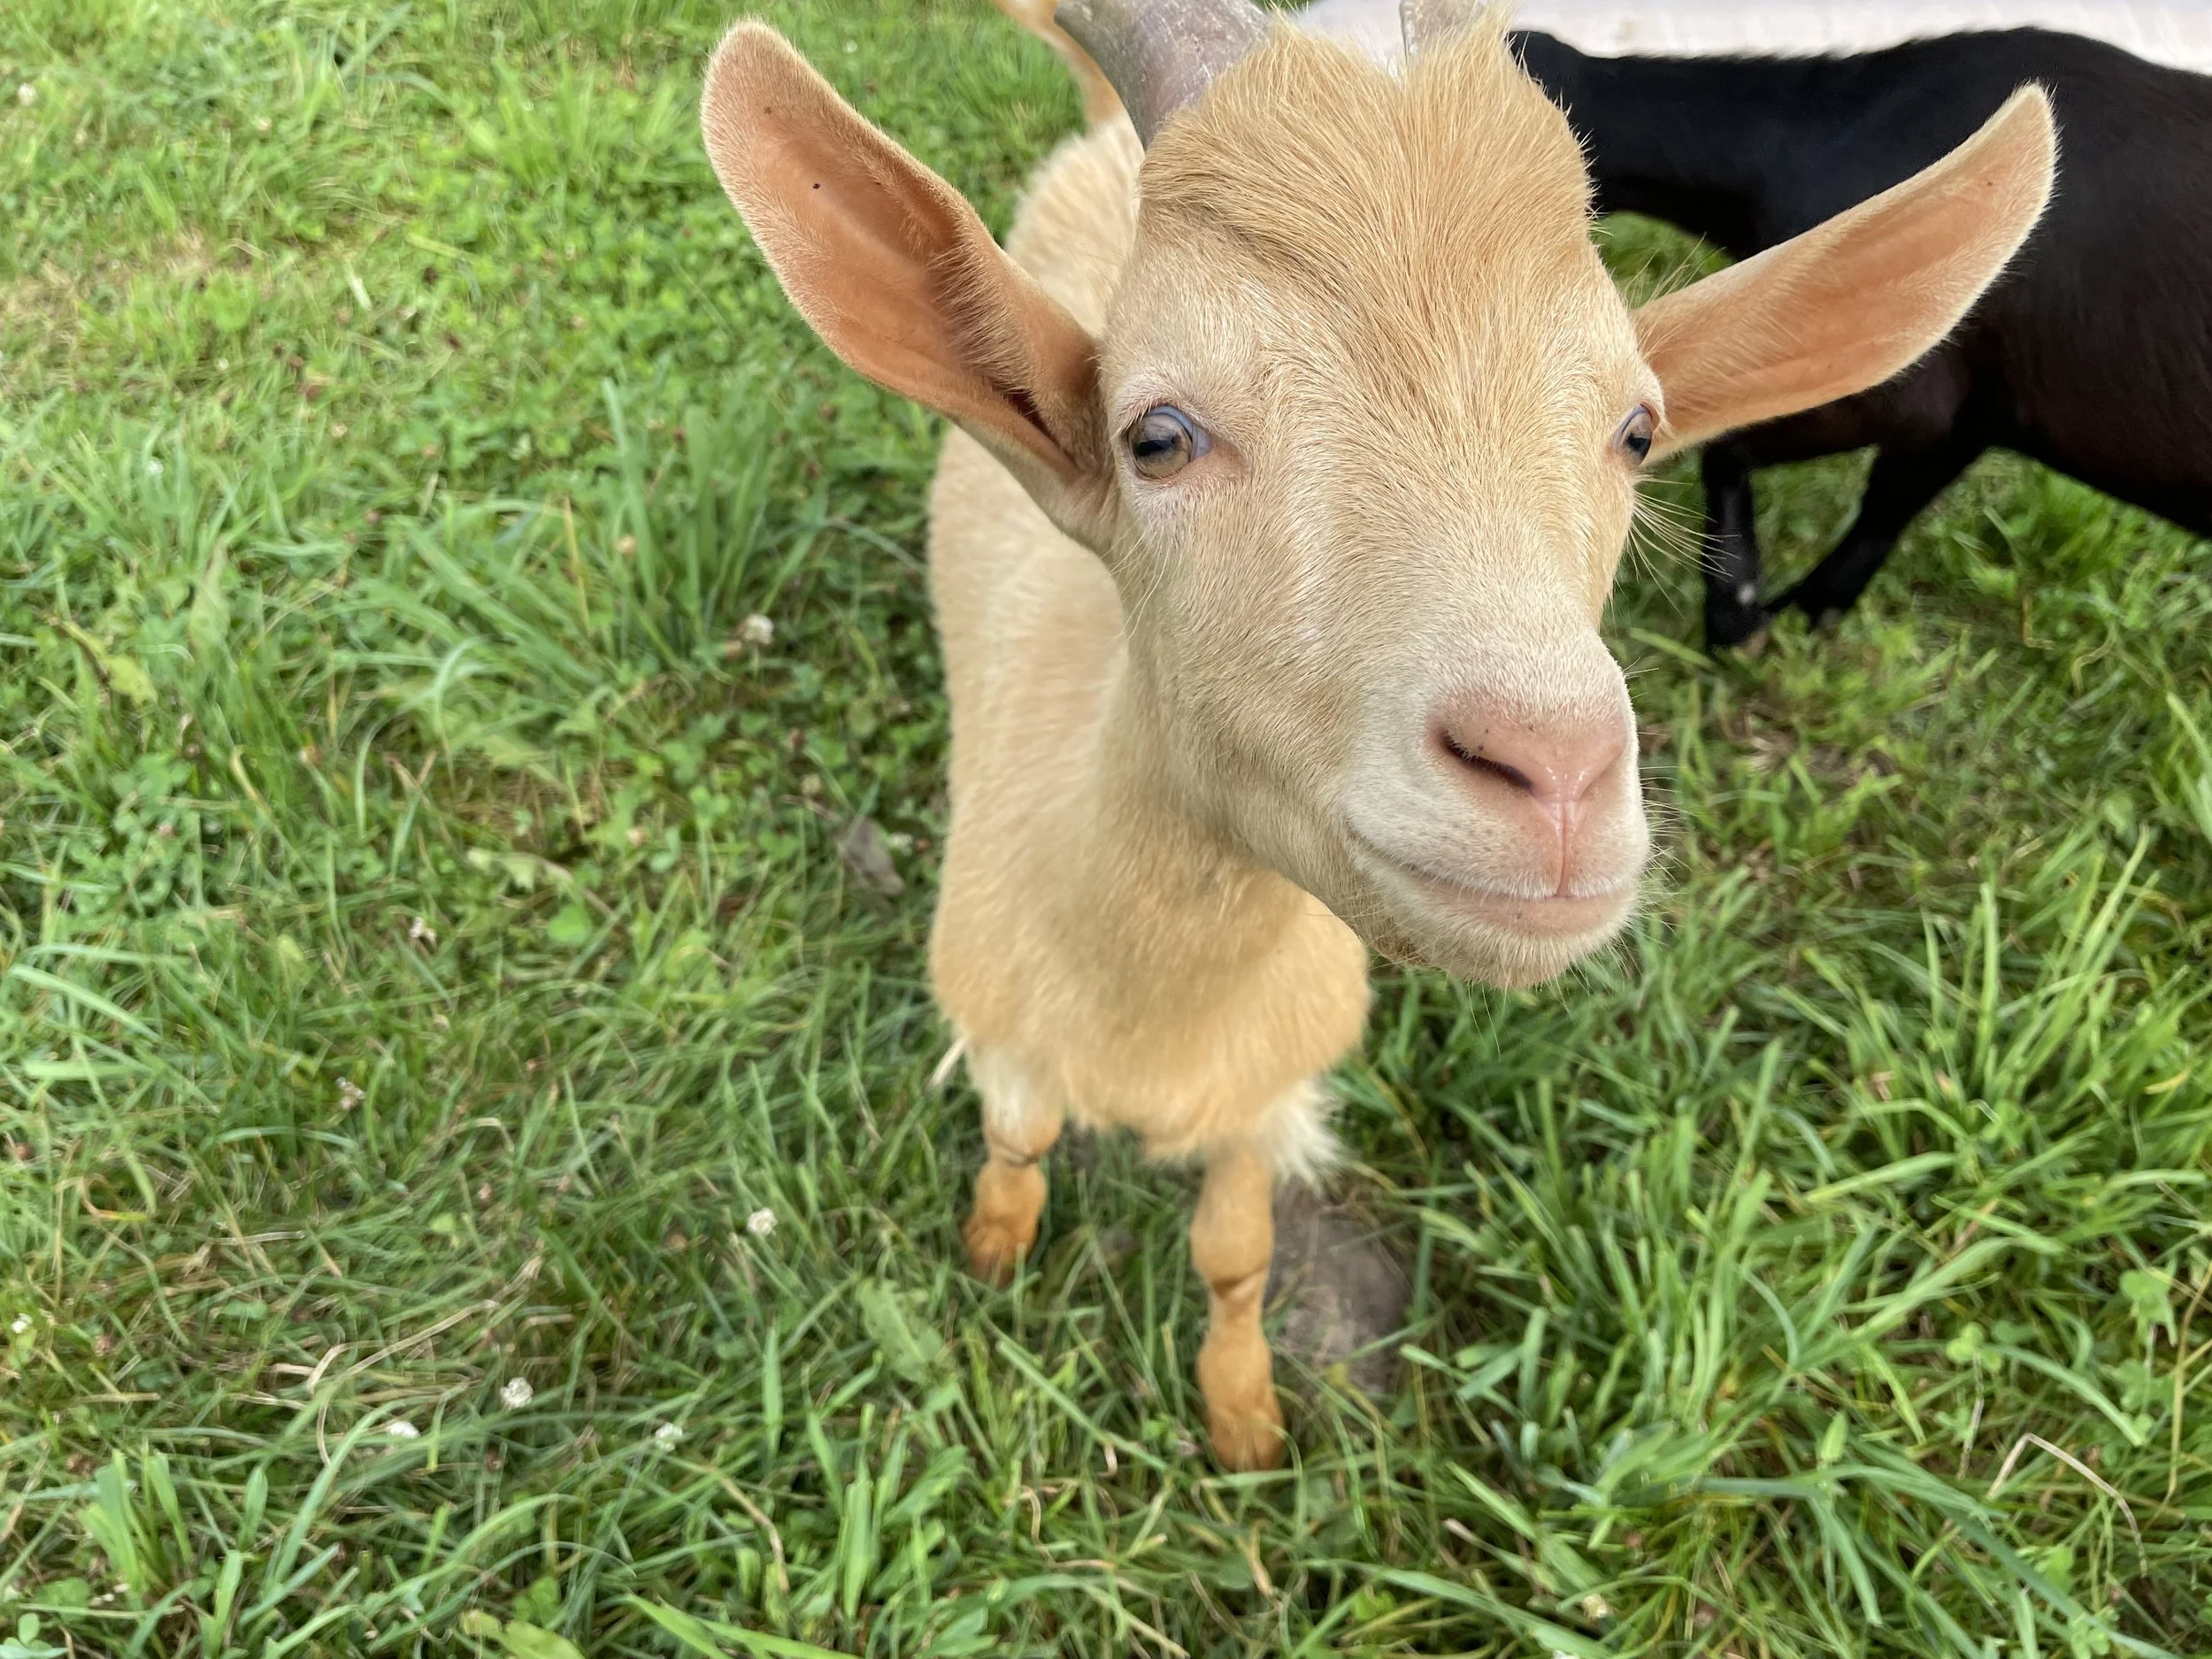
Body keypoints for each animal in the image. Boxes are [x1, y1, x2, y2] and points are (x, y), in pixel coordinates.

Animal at [697, 0, 2052, 1467]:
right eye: (1156, 434)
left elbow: (1235, 1253)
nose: (1555, 773)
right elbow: (1015, 1140)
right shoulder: (998, 1016)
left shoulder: (1270, 1082)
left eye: (1637, 431)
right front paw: (995, 1253)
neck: (1141, 1011)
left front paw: (1244, 1420)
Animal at [1510, 26, 2212, 647]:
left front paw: (1740, 612)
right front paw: (1809, 611)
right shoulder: (1973, 411)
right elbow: (1889, 506)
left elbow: (1729, 453)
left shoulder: (1902, 391)